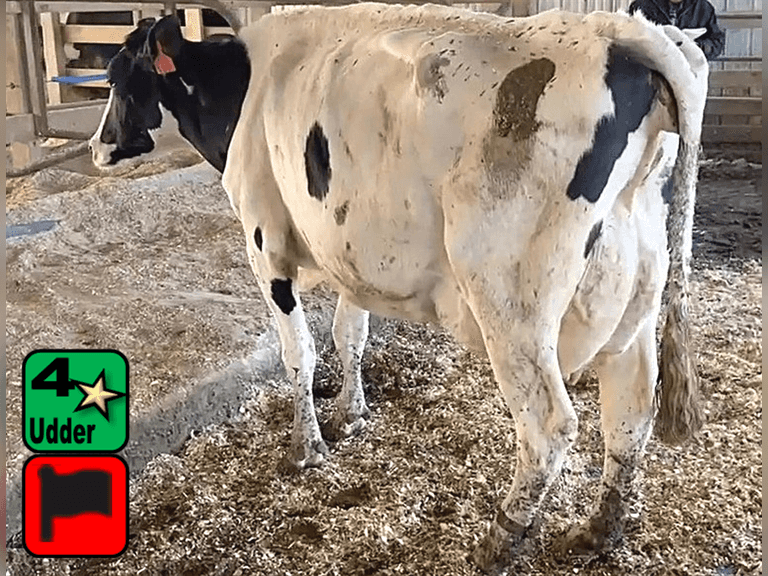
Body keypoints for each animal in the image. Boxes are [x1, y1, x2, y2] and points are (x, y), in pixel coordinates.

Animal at [89, 5, 708, 572]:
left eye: (117, 75)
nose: (97, 148)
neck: (241, 86)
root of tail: (617, 31)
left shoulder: (265, 244)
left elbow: (300, 352)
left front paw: (307, 448)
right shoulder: (350, 253)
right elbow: (350, 333)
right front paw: (352, 413)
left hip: (512, 304)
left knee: (549, 425)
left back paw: (498, 541)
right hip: (633, 296)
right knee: (632, 407)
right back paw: (599, 531)